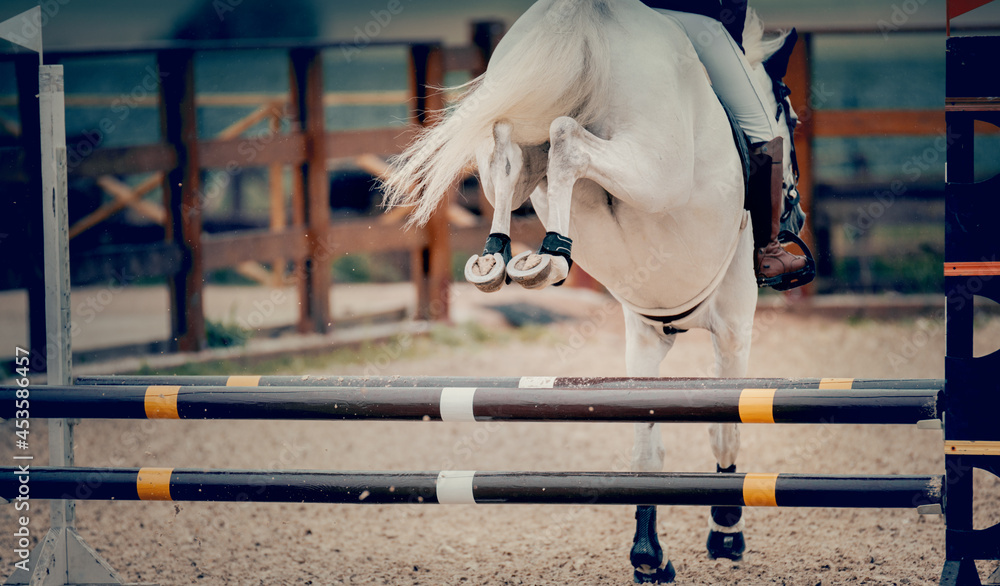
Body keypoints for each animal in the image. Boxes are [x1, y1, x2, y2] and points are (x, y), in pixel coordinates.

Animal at [382, 0, 797, 582]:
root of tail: (590, 16)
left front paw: (649, 554)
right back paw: (550, 256)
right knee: (567, 142)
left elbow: (647, 447)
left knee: (511, 146)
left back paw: (502, 258)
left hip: (529, 135)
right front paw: (726, 529)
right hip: (653, 165)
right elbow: (726, 426)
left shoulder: (647, 334)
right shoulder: (735, 323)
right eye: (793, 119)